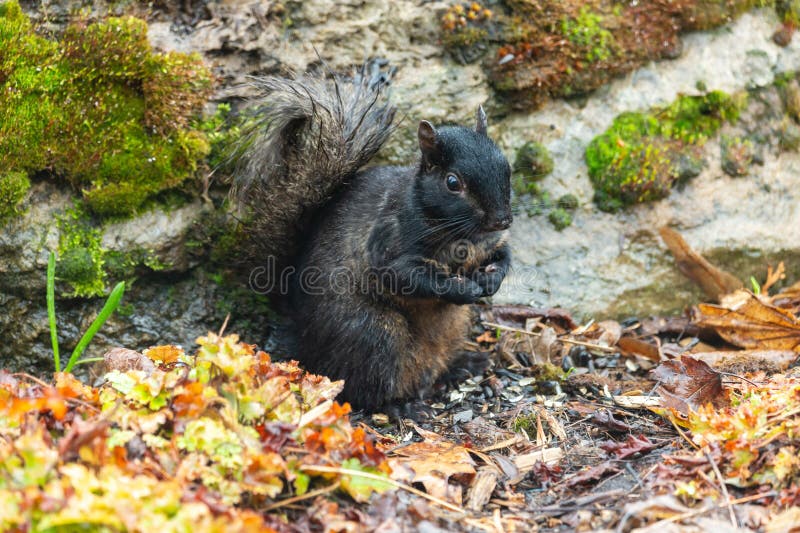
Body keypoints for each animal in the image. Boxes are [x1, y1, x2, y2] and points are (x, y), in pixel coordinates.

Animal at [234, 63, 512, 413]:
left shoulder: (494, 242)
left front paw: (492, 279)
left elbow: (503, 256)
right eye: (452, 183)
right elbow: (405, 277)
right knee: (364, 391)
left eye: (507, 167)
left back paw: (464, 364)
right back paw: (401, 406)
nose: (502, 219)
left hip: (453, 328)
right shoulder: (387, 244)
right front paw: (461, 289)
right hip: (376, 335)